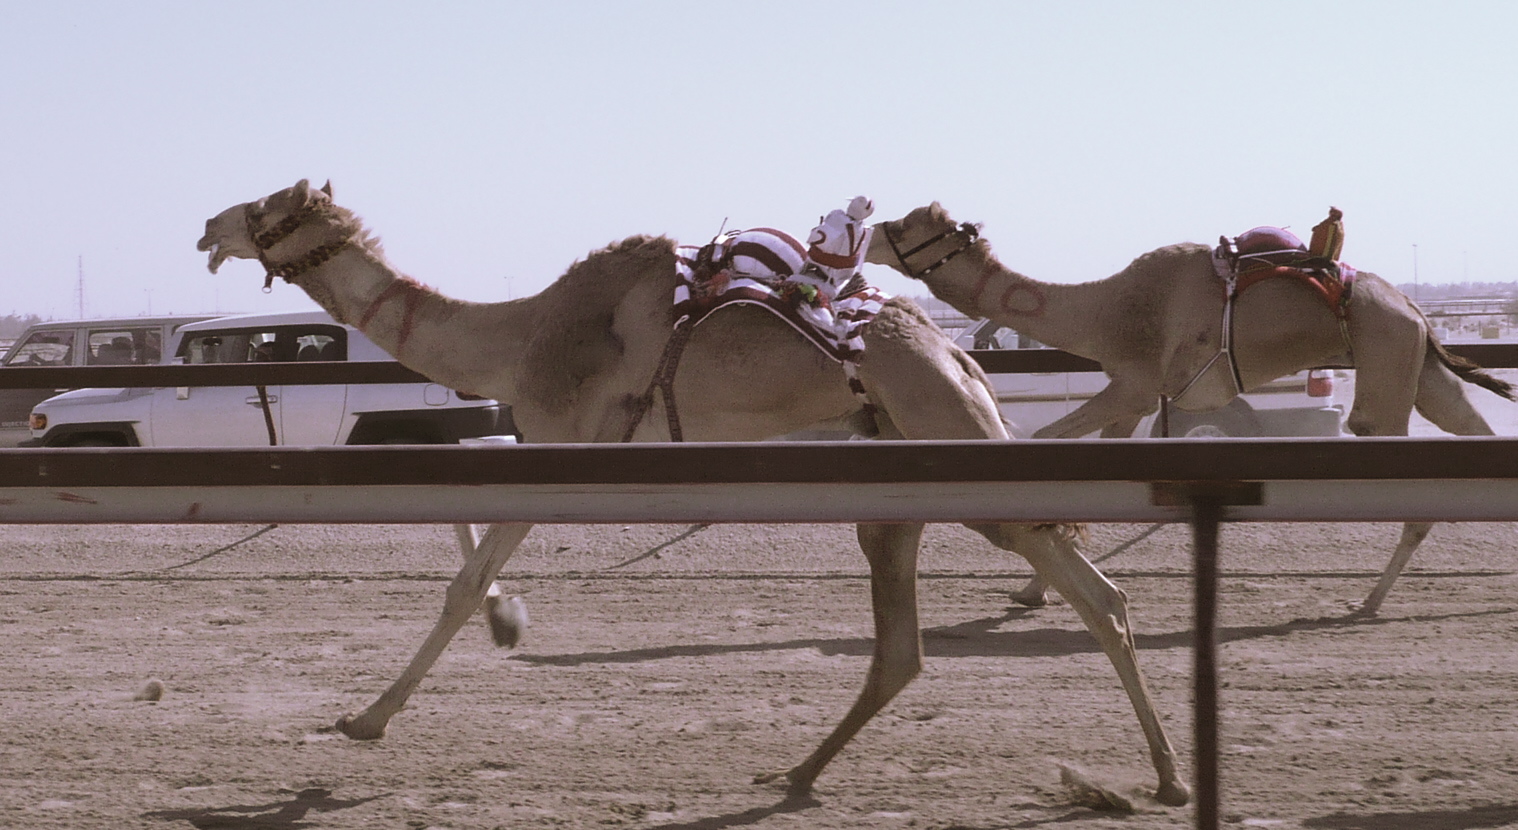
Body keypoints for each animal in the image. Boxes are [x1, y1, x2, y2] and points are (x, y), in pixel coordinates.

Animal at [194, 180, 1190, 806]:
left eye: (269, 206)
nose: (209, 226)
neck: (520, 335)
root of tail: (959, 354)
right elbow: (468, 554)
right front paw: (488, 636)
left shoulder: (559, 439)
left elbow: (463, 581)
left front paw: (367, 716)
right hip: (899, 459)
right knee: (916, 640)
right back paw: (800, 774)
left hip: (947, 436)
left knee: (1090, 589)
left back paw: (1167, 773)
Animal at [867, 203, 1515, 615]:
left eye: (903, 224)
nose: (867, 232)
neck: (1109, 312)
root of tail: (1413, 307)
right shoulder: (1132, 399)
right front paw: (1035, 589)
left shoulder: (1135, 384)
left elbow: (1045, 439)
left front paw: (1038, 587)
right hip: (1417, 365)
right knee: (1470, 430)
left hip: (1384, 362)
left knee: (1395, 454)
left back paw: (1368, 600)